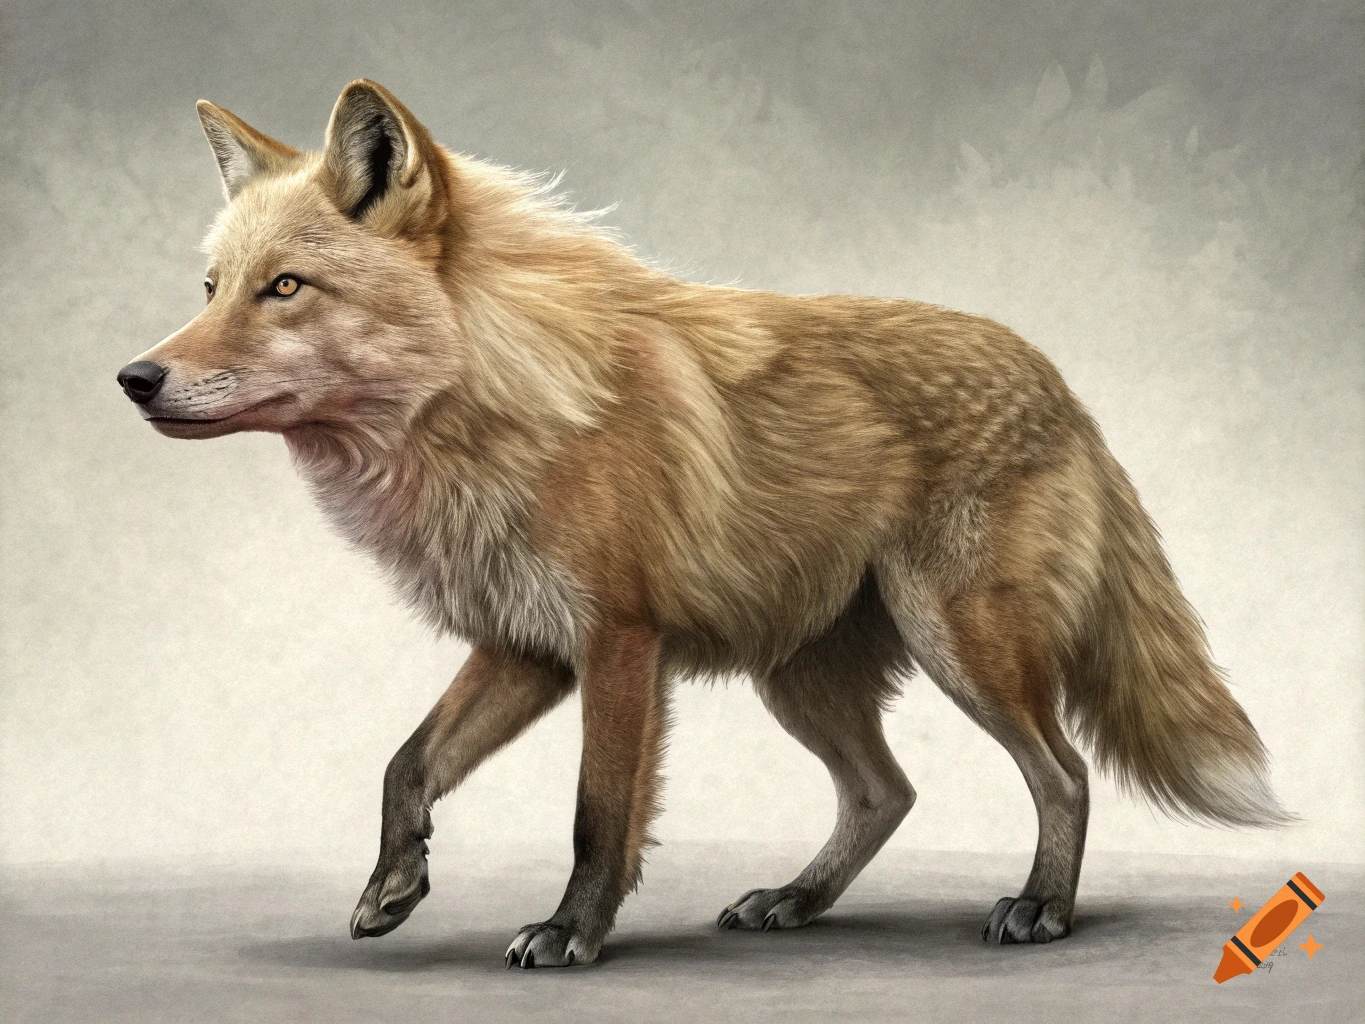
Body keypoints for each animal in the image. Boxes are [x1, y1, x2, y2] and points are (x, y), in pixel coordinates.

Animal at [117, 79, 1291, 968]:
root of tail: (1057, 379)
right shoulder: (525, 644)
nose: (135, 379)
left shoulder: (618, 643)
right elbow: (405, 764)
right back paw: (796, 901)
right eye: (211, 287)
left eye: (285, 288)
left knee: (1064, 772)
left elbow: (597, 813)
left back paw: (1042, 906)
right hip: (801, 677)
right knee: (887, 792)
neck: (505, 415)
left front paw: (572, 933)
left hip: (963, 648)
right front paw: (395, 884)